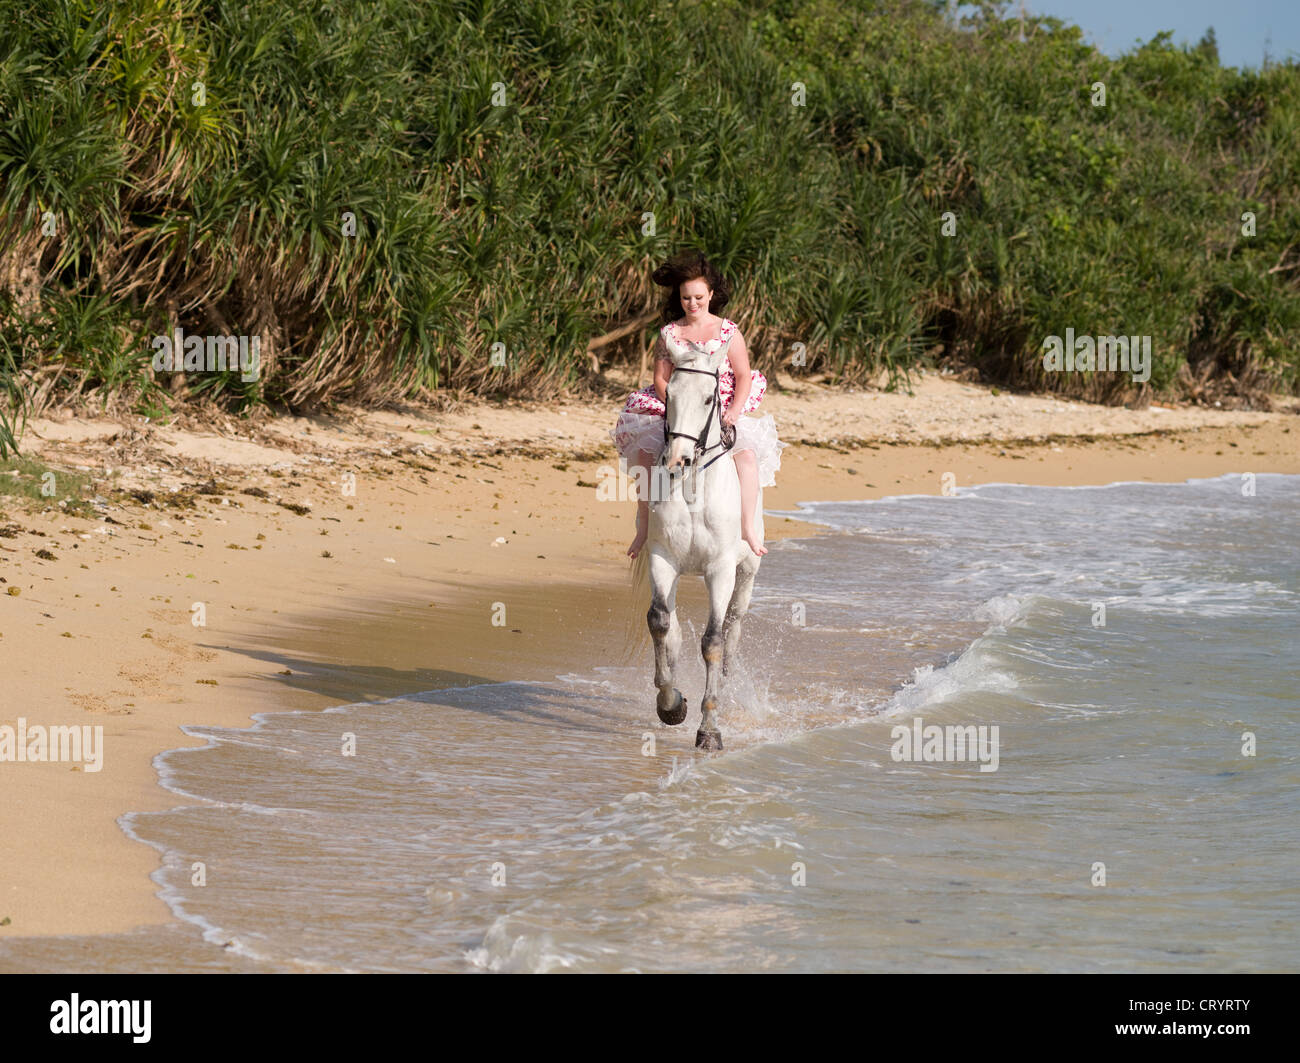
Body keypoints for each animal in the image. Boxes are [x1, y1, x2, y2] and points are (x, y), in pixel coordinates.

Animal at [629, 338, 763, 751]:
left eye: (708, 398)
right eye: (668, 394)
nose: (678, 460)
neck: (691, 488)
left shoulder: (719, 570)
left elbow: (713, 641)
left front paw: (709, 730)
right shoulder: (662, 559)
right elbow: (659, 623)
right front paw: (671, 705)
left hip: (747, 572)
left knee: (733, 626)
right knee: (670, 627)